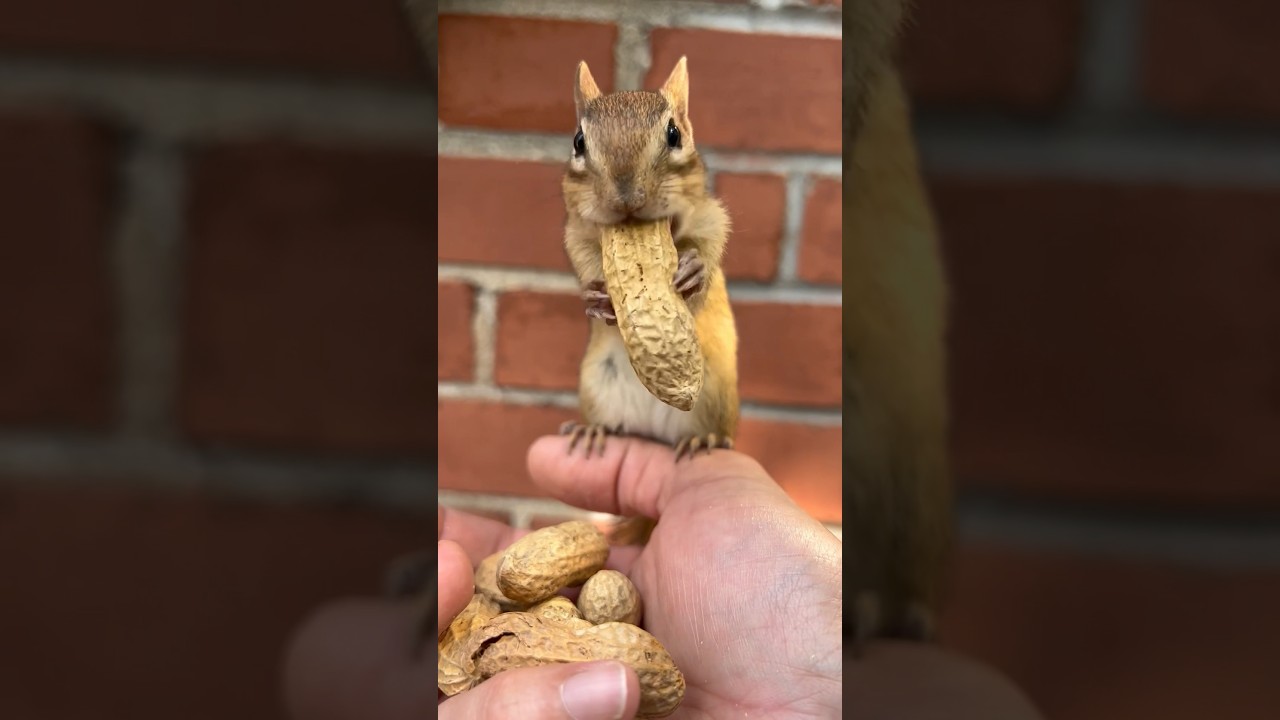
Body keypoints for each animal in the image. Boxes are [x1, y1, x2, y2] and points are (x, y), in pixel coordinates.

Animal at [557, 57, 740, 546]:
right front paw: (597, 300)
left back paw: (705, 442)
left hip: (717, 398)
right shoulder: (578, 235)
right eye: (578, 141)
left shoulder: (714, 219)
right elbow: (586, 261)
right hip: (596, 387)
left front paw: (693, 270)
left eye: (674, 134)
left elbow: (708, 249)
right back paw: (592, 430)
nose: (625, 198)